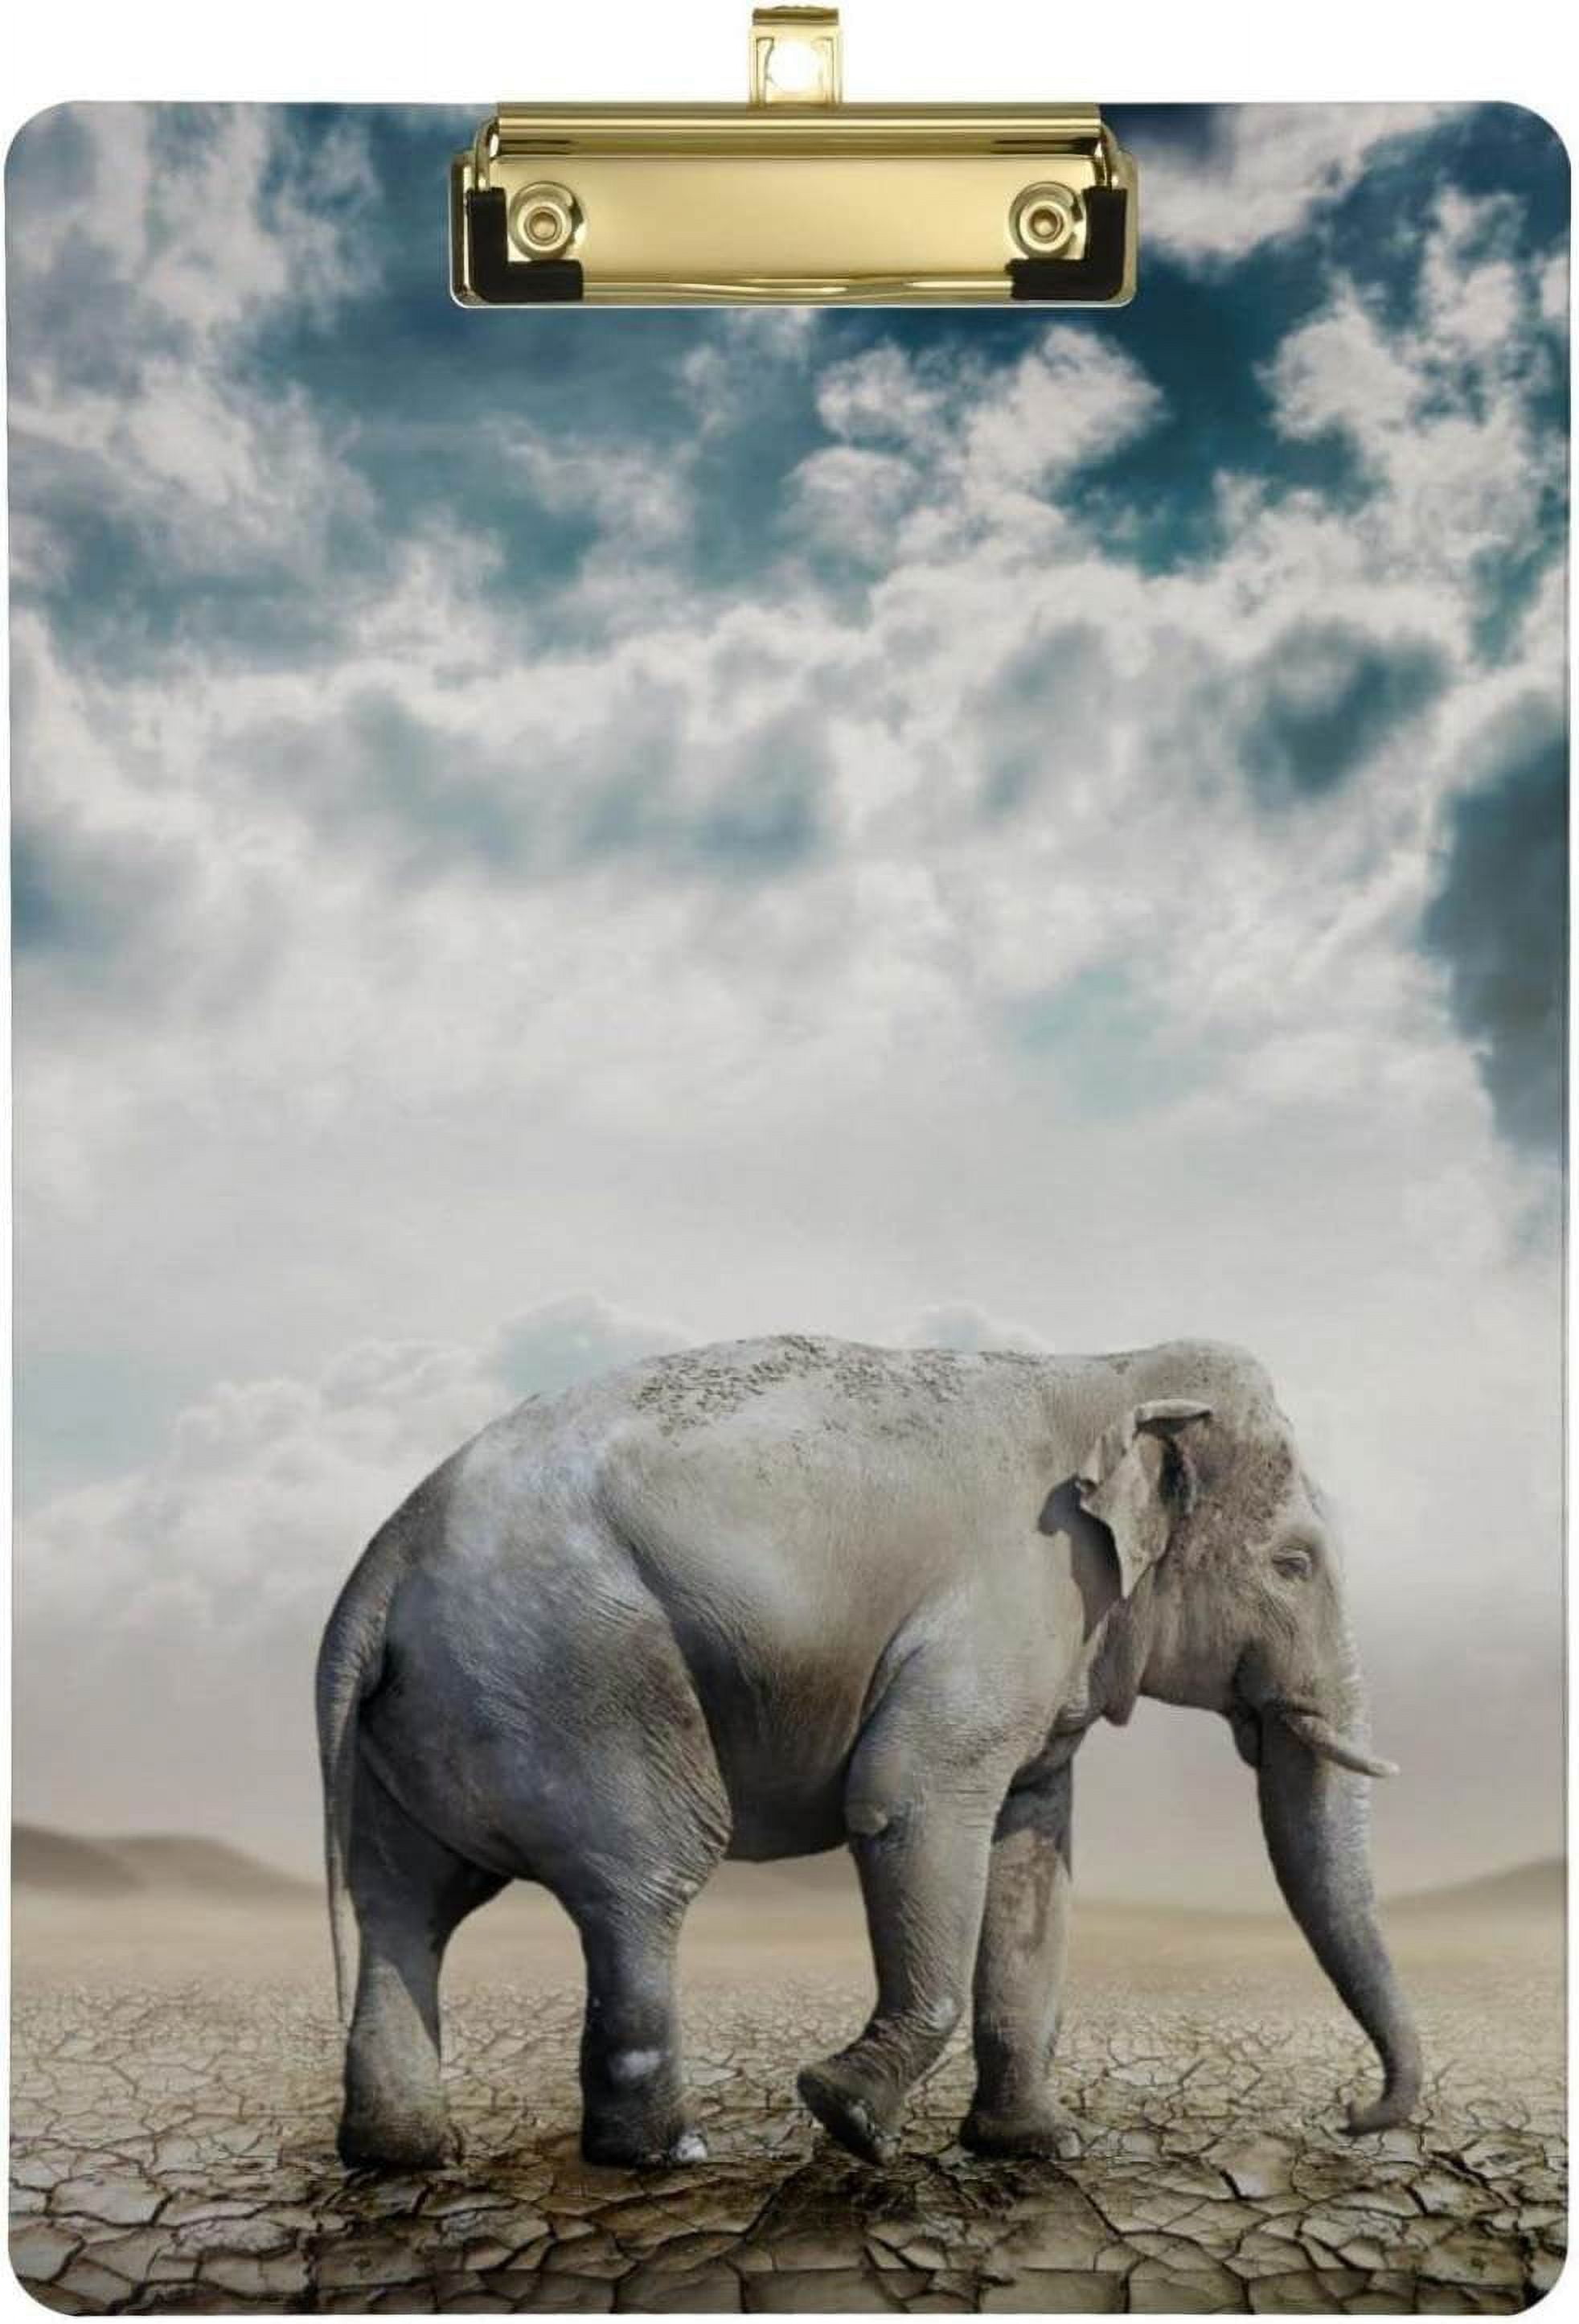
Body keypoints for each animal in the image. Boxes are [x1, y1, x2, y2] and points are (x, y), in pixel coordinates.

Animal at [316, 1332, 1420, 2172]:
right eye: (1292, 1564)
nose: (1351, 2116)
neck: (1111, 1369)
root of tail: (384, 1554)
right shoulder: (1015, 1590)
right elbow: (908, 1798)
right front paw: (845, 2119)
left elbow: (1031, 1859)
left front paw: (1037, 2147)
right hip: (571, 1667)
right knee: (647, 1874)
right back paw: (664, 2156)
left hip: (429, 1709)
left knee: (405, 1899)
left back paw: (405, 2156)